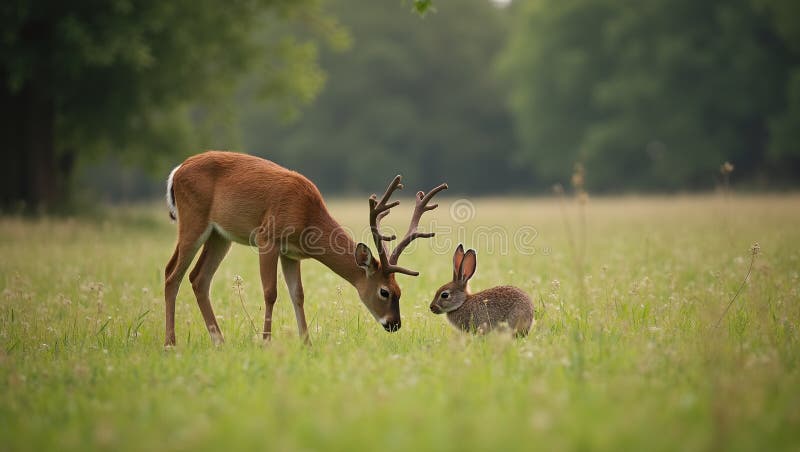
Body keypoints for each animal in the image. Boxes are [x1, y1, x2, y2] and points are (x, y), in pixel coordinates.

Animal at [163, 151, 447, 346]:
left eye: (400, 291)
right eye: (385, 292)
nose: (395, 325)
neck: (306, 216)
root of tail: (176, 171)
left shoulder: (291, 253)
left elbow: (297, 294)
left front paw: (306, 343)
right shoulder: (267, 238)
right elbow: (270, 292)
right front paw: (266, 342)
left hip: (220, 235)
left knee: (198, 278)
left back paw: (219, 341)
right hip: (193, 220)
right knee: (171, 274)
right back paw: (170, 343)